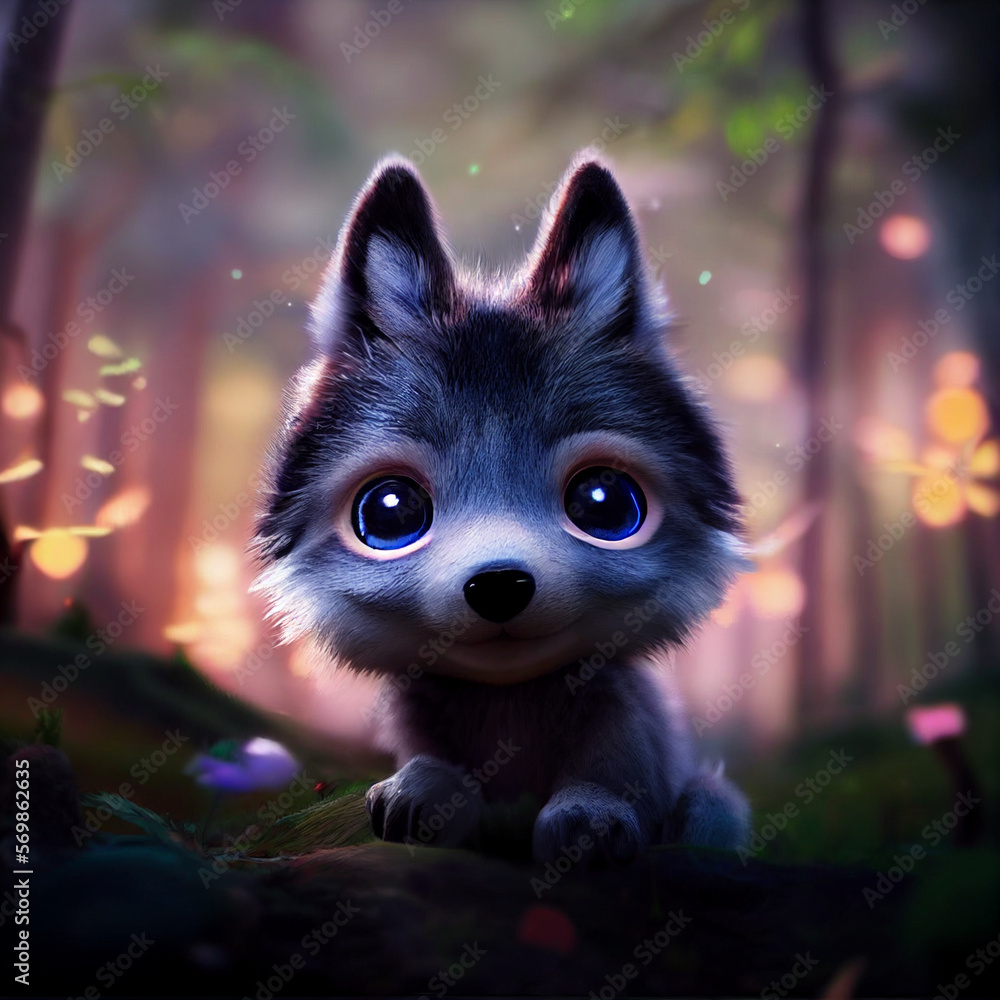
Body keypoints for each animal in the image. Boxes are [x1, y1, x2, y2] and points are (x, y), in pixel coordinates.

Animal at [253, 150, 751, 863]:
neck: (507, 704)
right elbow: (431, 777)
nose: (499, 584)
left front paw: (590, 817)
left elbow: (618, 780)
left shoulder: (627, 719)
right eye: (391, 511)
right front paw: (419, 794)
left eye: (604, 503)